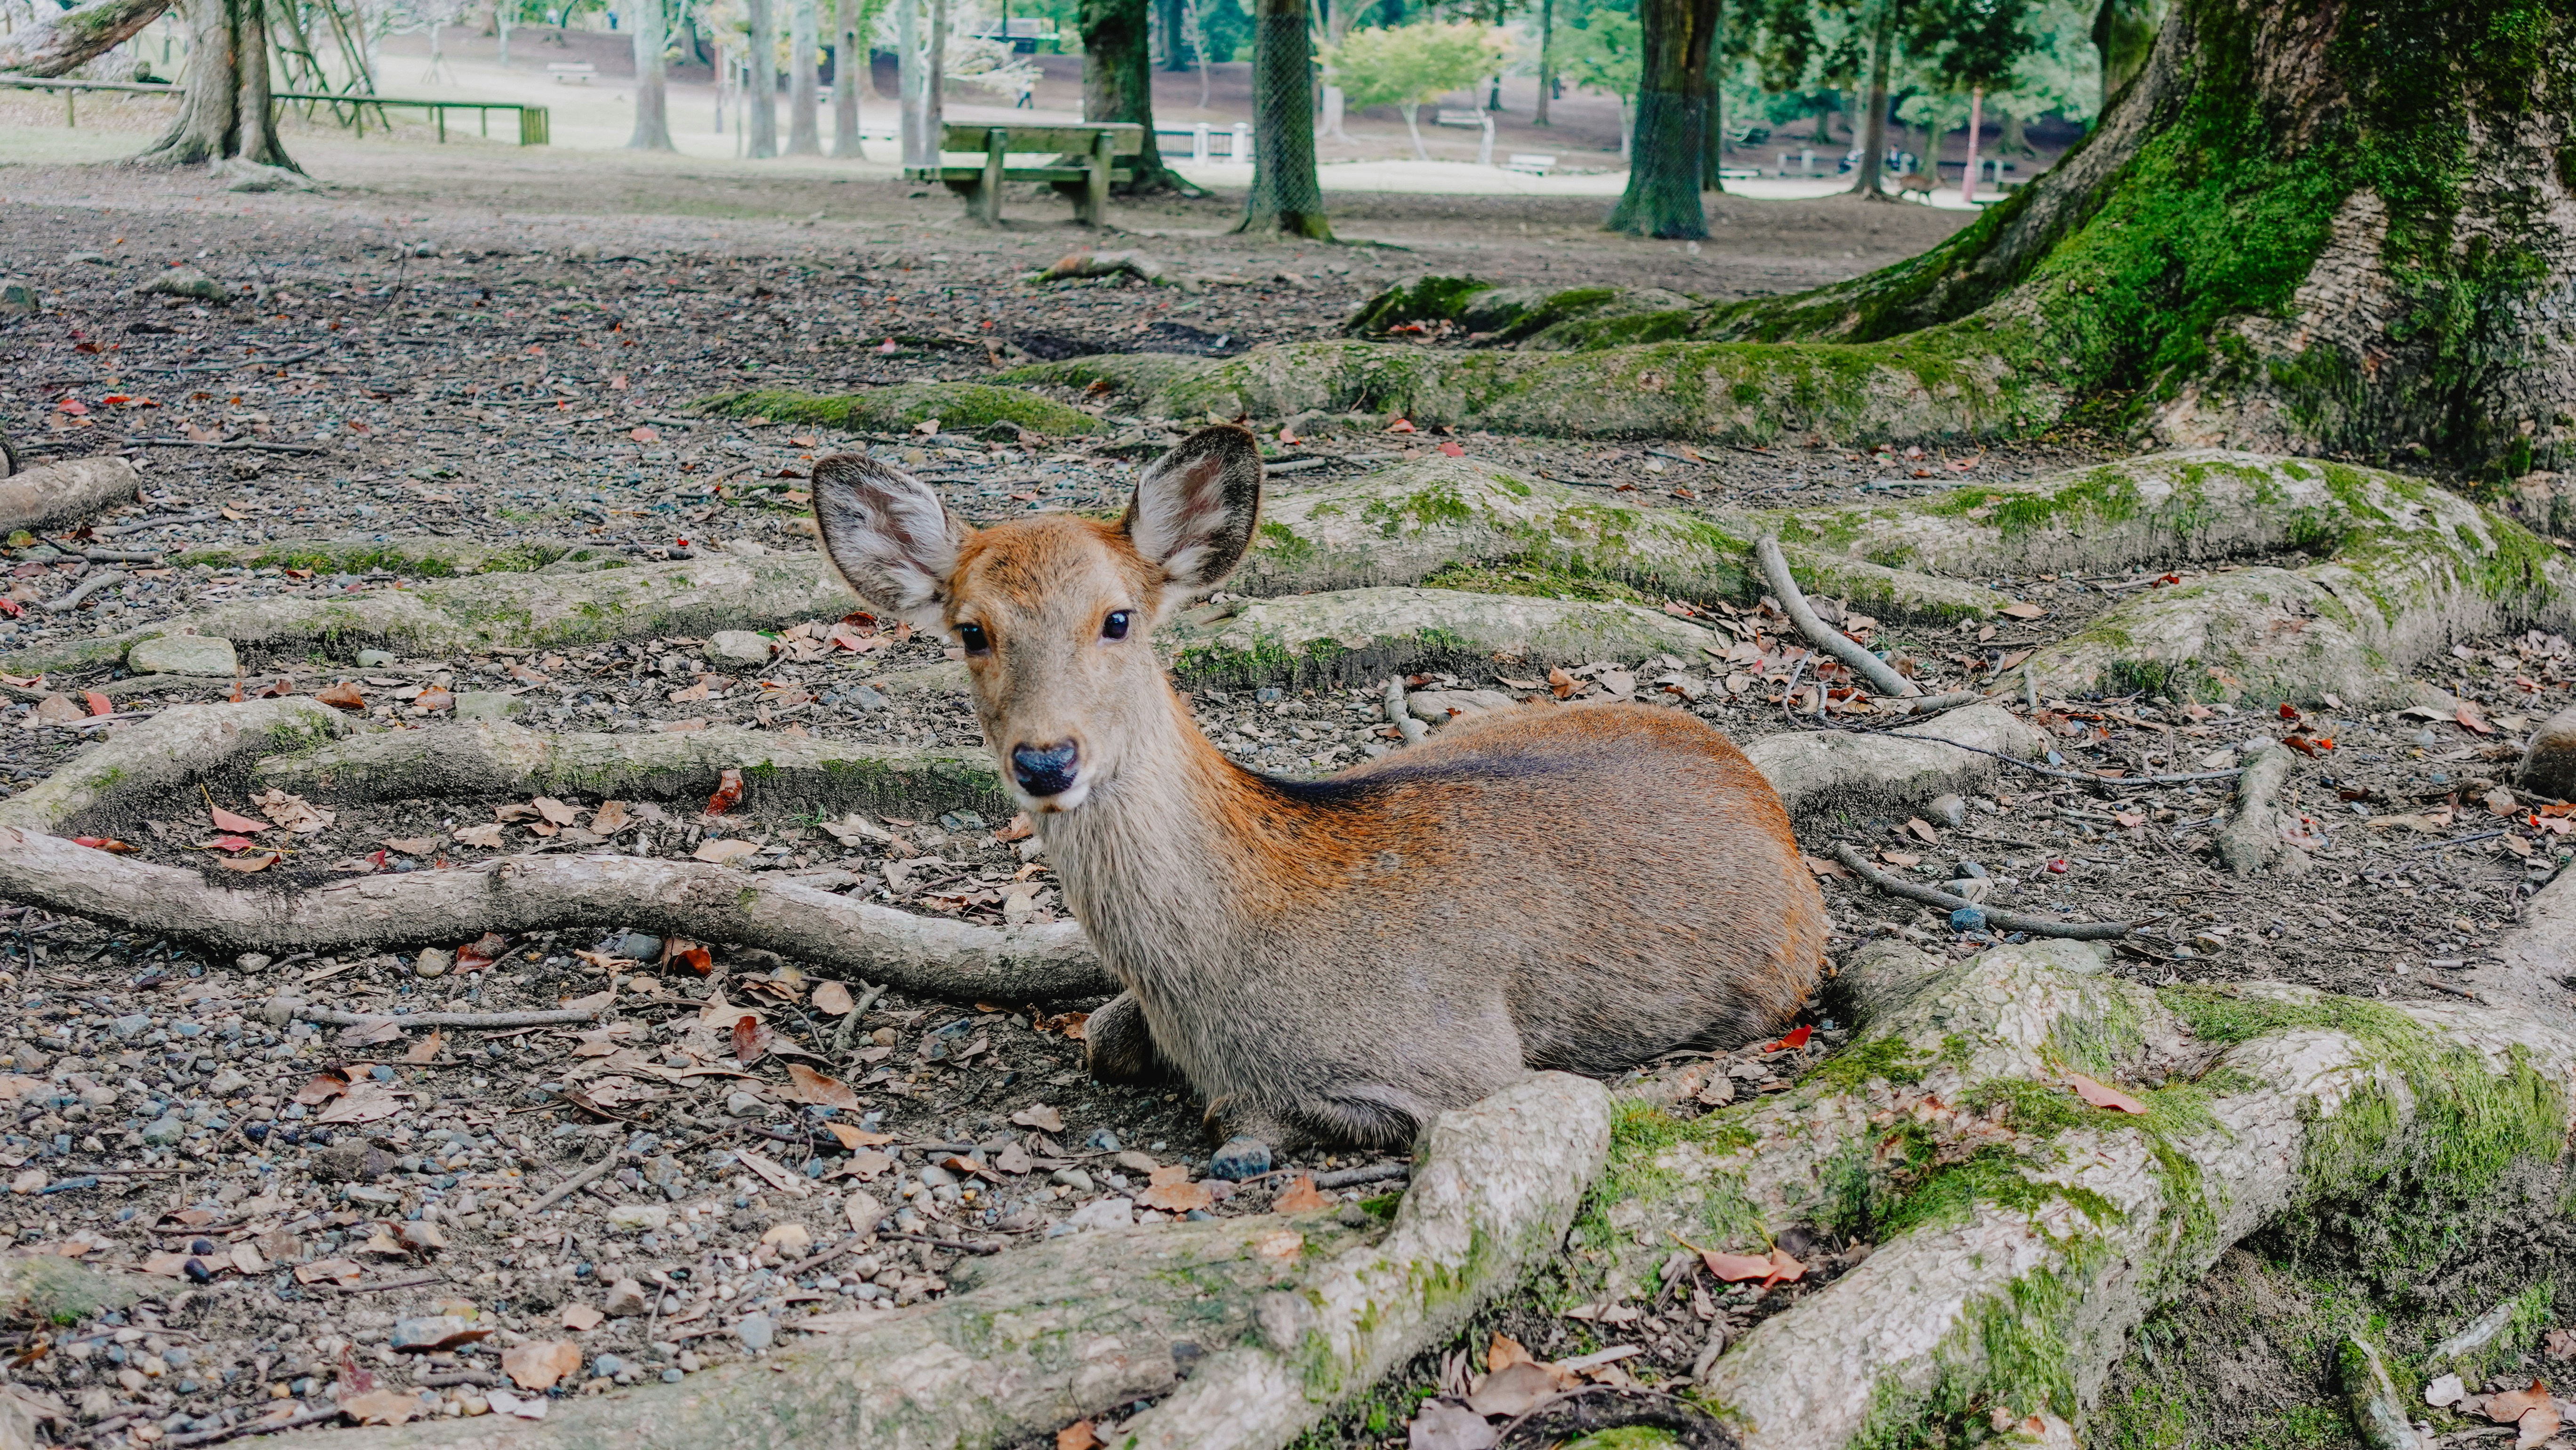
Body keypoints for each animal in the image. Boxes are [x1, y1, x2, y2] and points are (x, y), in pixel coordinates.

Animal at [808, 424, 1827, 1150]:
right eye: (971, 630)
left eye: (1118, 618)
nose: (1046, 760)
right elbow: (1099, 1034)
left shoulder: (1468, 1059)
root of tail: (1757, 784)